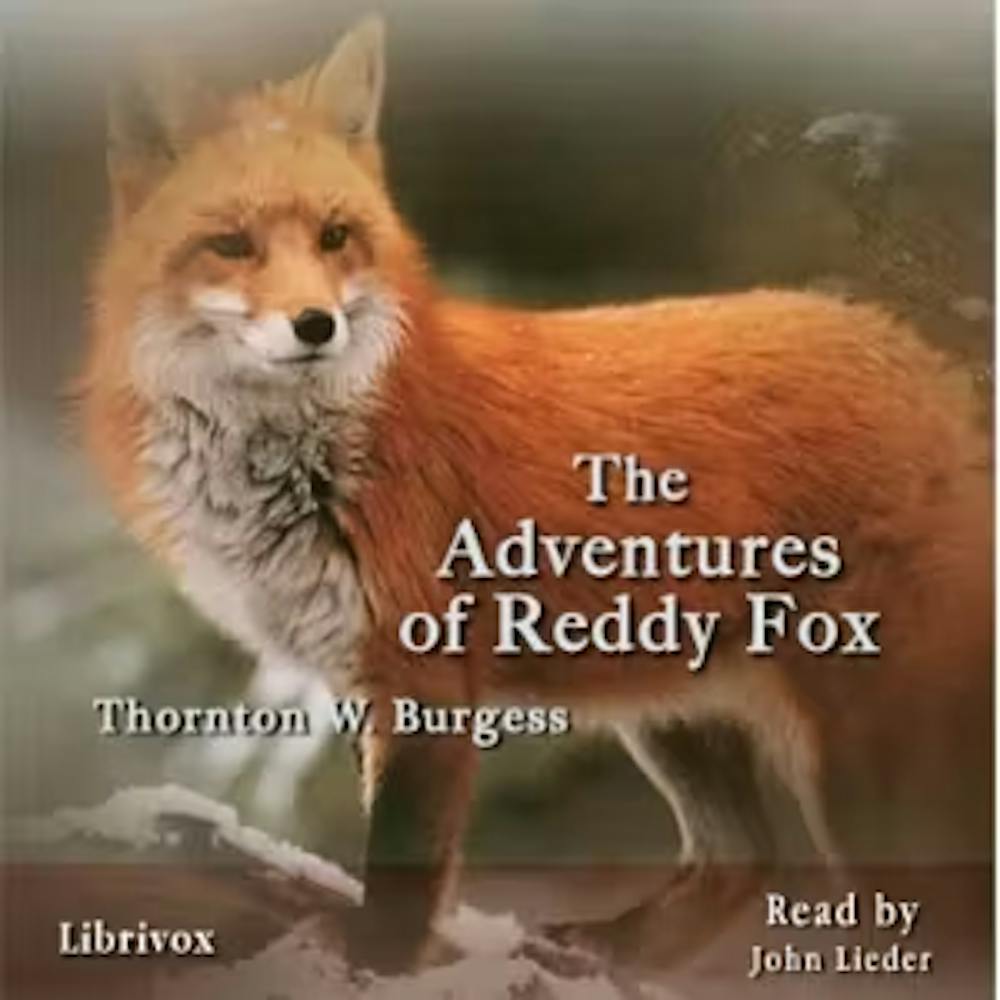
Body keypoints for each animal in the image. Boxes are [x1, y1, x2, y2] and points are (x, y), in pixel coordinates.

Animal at [79, 14, 991, 976]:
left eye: (334, 237)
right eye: (232, 245)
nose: (315, 325)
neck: (305, 461)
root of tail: (922, 359)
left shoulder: (427, 680)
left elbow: (400, 877)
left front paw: (374, 966)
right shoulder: (364, 676)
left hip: (862, 770)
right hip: (667, 710)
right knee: (743, 860)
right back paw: (610, 953)